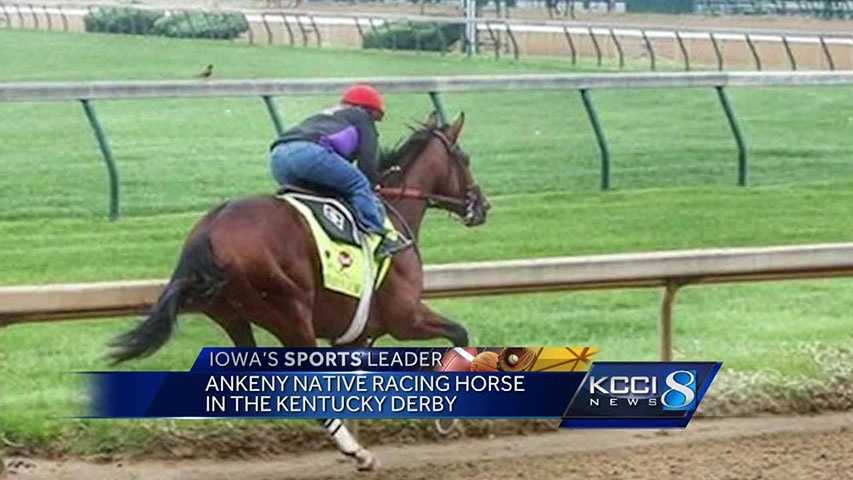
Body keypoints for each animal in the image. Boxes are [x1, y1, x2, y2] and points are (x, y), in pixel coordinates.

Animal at [108, 111, 490, 470]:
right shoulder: (405, 318)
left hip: (232, 315)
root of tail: (209, 230)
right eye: (465, 158)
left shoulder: (354, 339)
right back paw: (356, 451)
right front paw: (445, 420)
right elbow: (460, 334)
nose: (483, 207)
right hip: (291, 314)